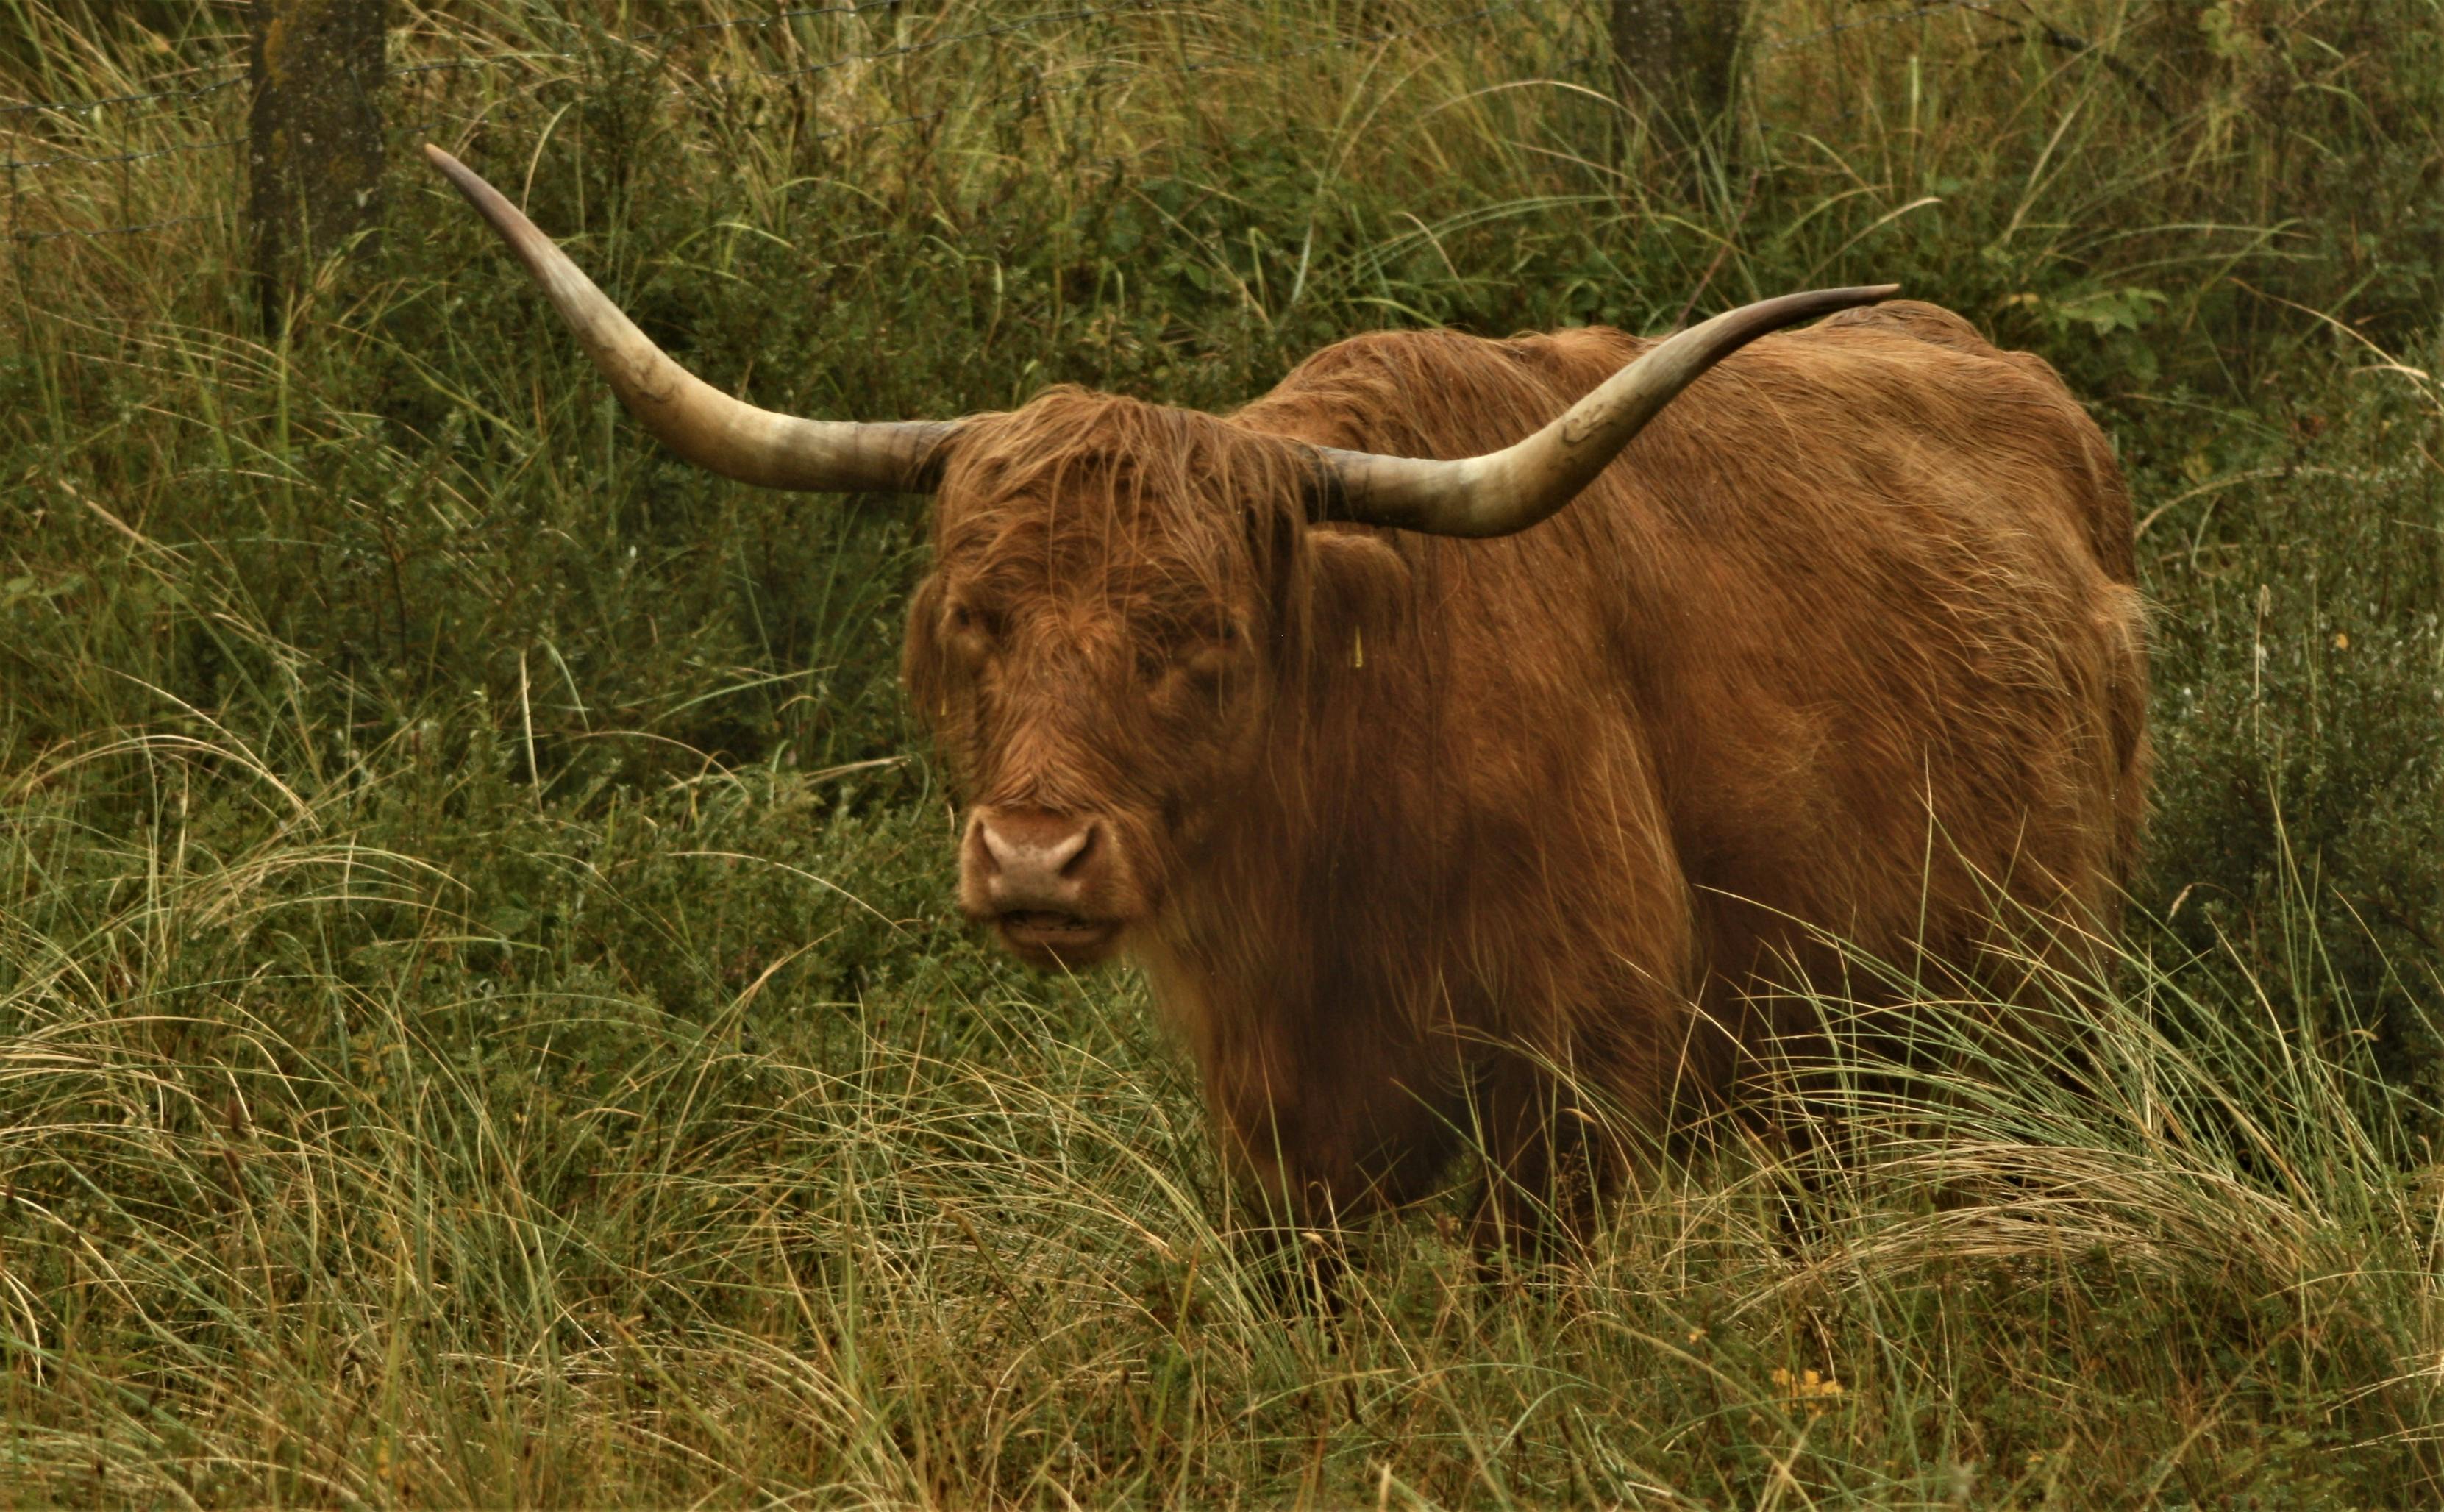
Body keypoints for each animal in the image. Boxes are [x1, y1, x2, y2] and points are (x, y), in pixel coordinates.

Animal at [427, 146, 2148, 1252]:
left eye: (1197, 631)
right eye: (977, 616)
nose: (1033, 858)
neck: (1338, 852)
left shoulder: (1576, 1094)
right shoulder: (1274, 1130)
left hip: (2026, 1014)